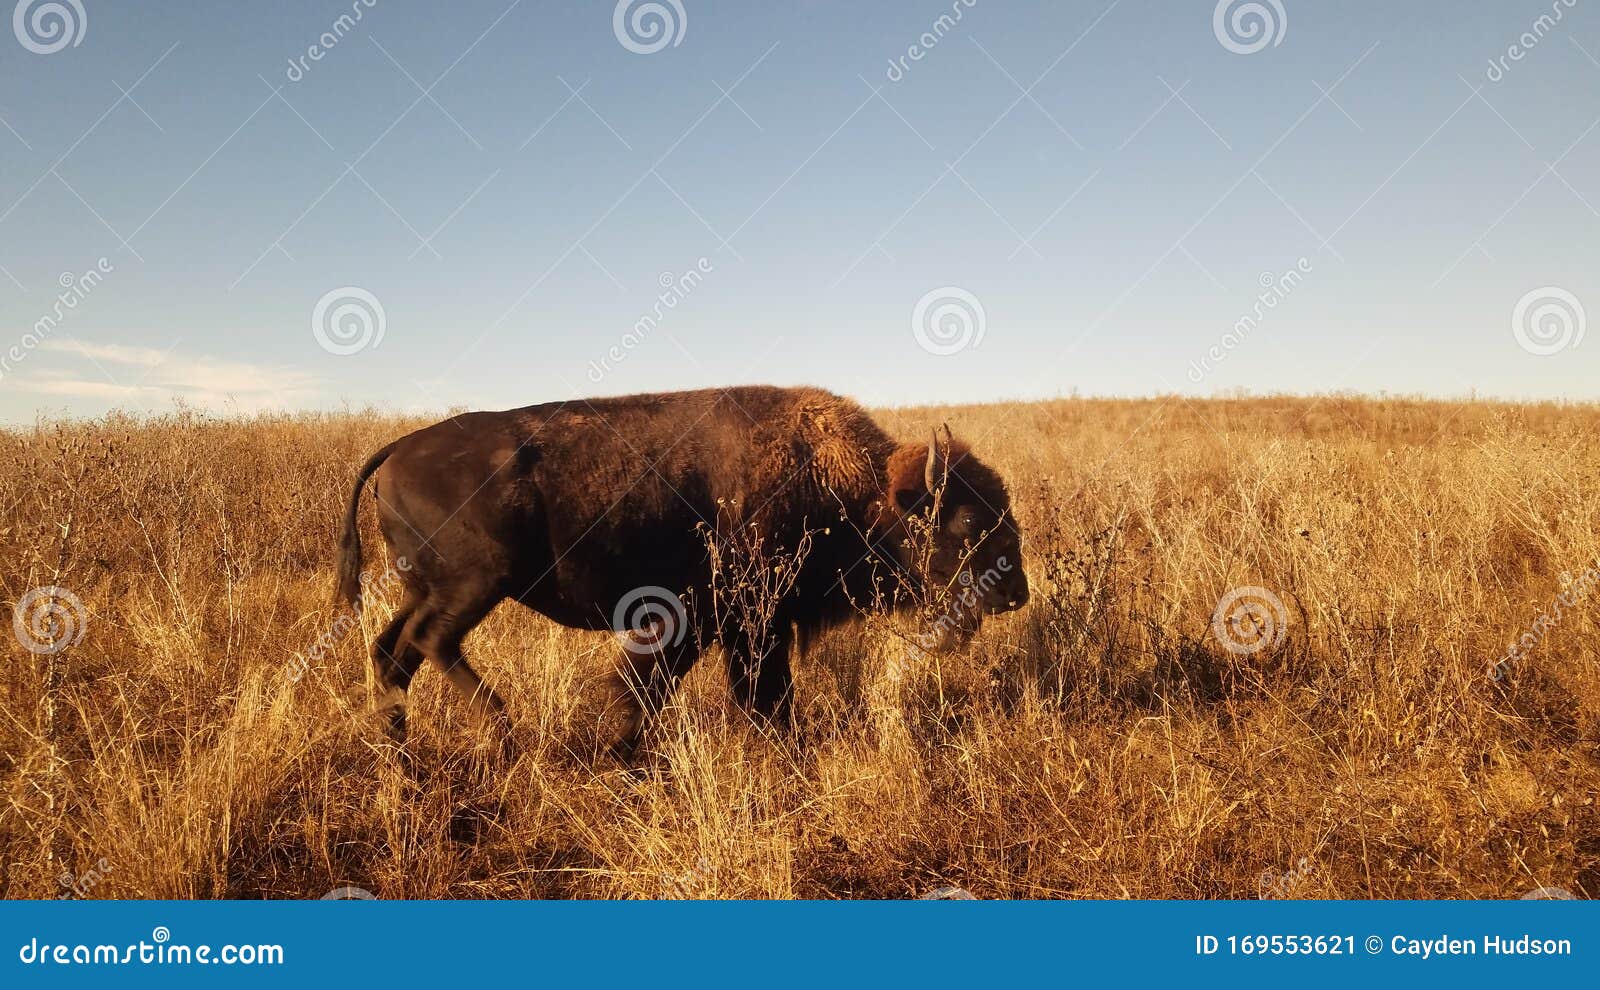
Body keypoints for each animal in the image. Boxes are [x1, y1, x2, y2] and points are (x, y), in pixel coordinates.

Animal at [336, 385, 1027, 757]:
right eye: (968, 520)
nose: (1015, 592)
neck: (852, 486)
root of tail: (398, 449)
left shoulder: (747, 626)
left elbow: (749, 692)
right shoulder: (721, 618)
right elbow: (675, 687)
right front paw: (621, 748)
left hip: (432, 588)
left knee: (393, 650)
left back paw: (400, 751)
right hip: (475, 585)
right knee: (428, 640)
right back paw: (504, 727)